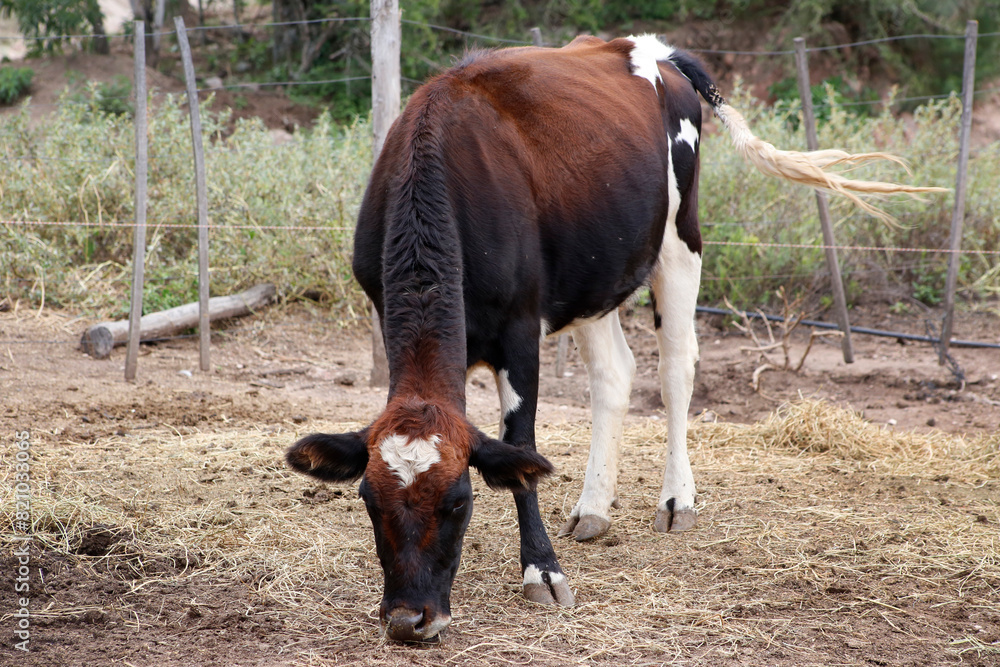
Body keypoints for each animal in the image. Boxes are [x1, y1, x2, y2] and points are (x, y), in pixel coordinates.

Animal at [286, 35, 941, 642]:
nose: (408, 619)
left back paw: (676, 501)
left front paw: (542, 571)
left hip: (680, 240)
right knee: (614, 377)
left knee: (676, 368)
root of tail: (650, 47)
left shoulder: (521, 331)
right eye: (368, 501)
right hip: (597, 277)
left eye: (459, 502)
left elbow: (521, 448)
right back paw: (593, 508)